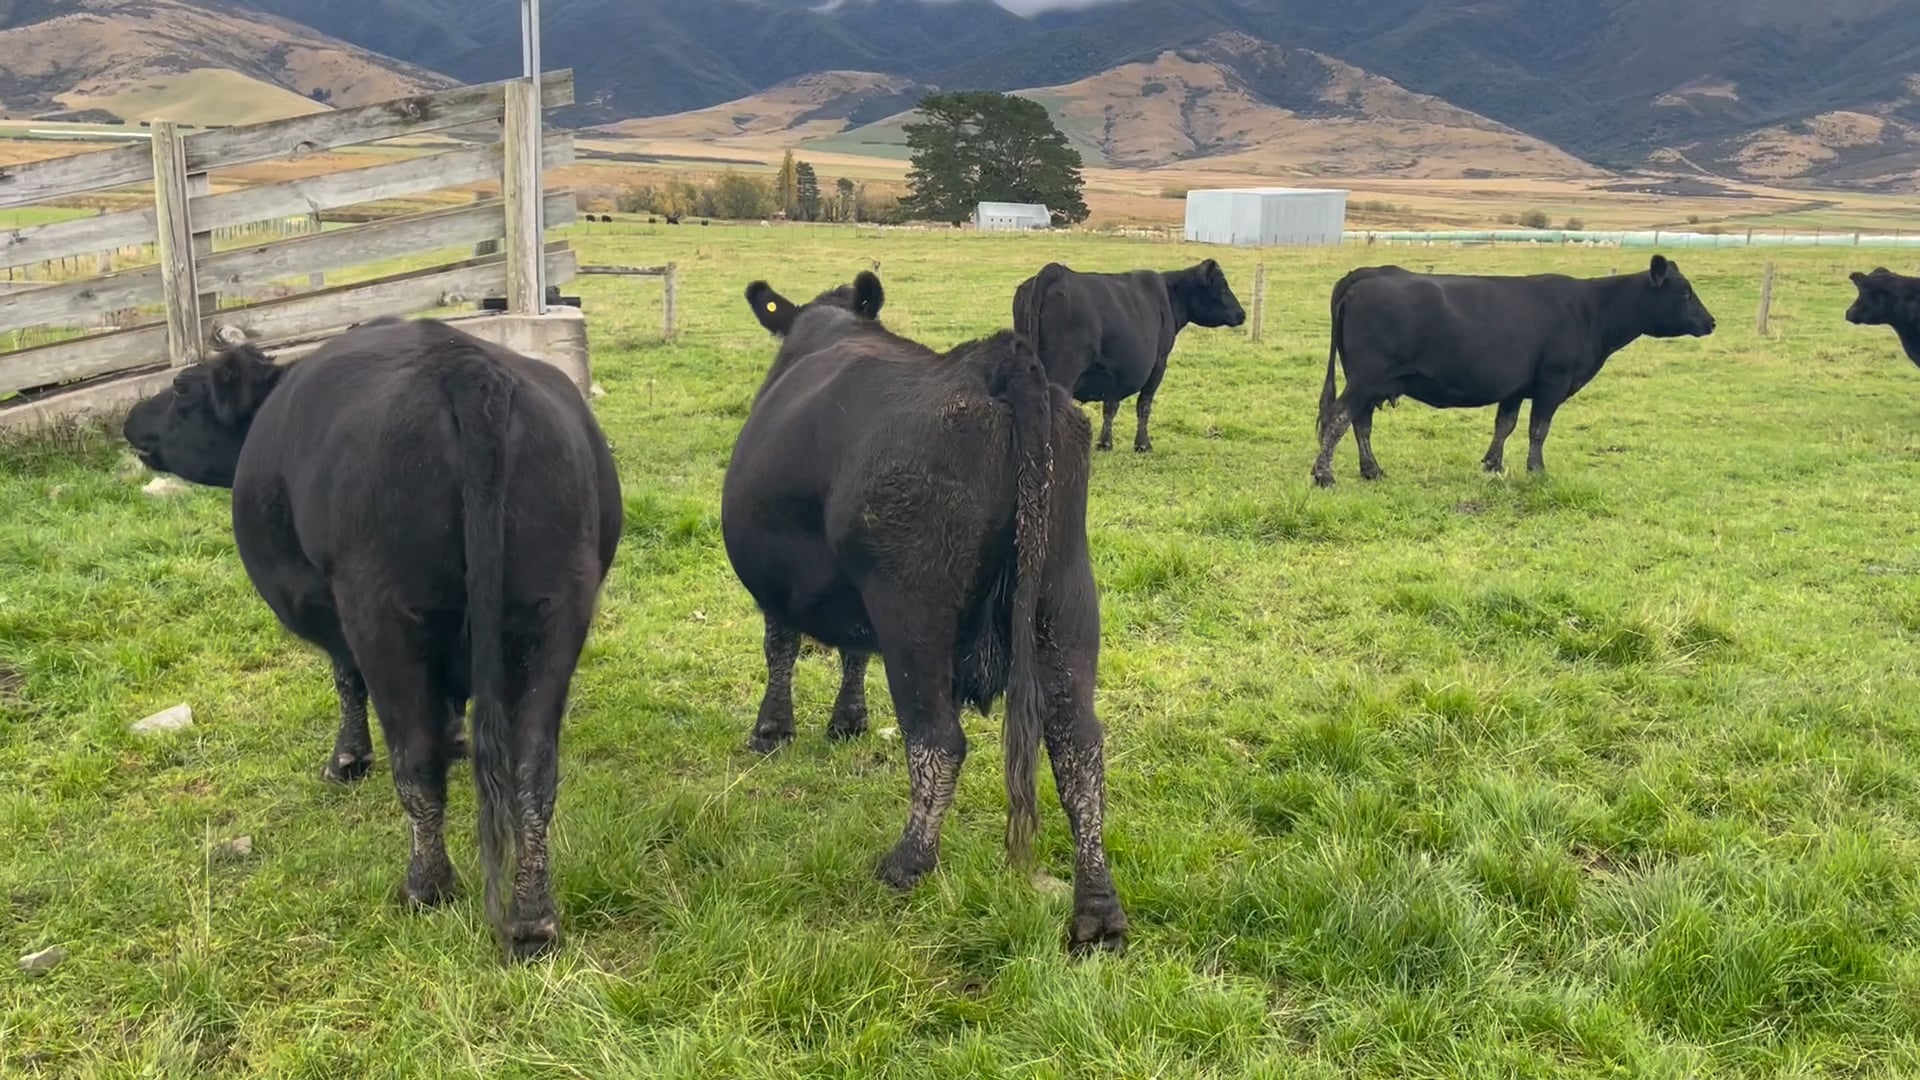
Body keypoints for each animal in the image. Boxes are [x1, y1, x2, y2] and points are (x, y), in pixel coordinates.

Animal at [120, 317, 623, 961]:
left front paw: (347, 759)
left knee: (414, 757)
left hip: (381, 613)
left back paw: (425, 887)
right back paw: (533, 921)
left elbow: (346, 679)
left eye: (183, 388)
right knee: (533, 765)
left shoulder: (329, 608)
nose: (131, 416)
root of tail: (463, 368)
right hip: (556, 608)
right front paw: (455, 733)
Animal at [722, 271, 1128, 954]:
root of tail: (997, 363)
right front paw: (848, 719)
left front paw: (773, 731)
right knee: (1079, 747)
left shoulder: (780, 586)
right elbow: (852, 649)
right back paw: (1098, 911)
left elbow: (780, 646)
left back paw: (907, 862)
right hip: (1068, 600)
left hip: (914, 610)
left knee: (939, 740)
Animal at [1011, 259, 1245, 453]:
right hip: (1064, 372)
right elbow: (1144, 405)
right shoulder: (1159, 363)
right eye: (1223, 286)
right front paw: (1142, 444)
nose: (1241, 314)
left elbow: (1110, 407)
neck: (1169, 295)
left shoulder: (1114, 371)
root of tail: (1056, 272)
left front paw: (1105, 443)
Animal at [1311, 255, 1718, 487]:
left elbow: (1504, 425)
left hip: (1370, 382)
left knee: (1359, 423)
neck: (1593, 310)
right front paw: (1537, 471)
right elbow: (1539, 429)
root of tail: (1366, 273)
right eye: (1684, 293)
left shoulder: (1516, 388)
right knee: (1339, 418)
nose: (1711, 321)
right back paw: (1324, 475)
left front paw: (1492, 465)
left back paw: (1372, 471)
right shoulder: (1552, 382)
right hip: (1367, 377)